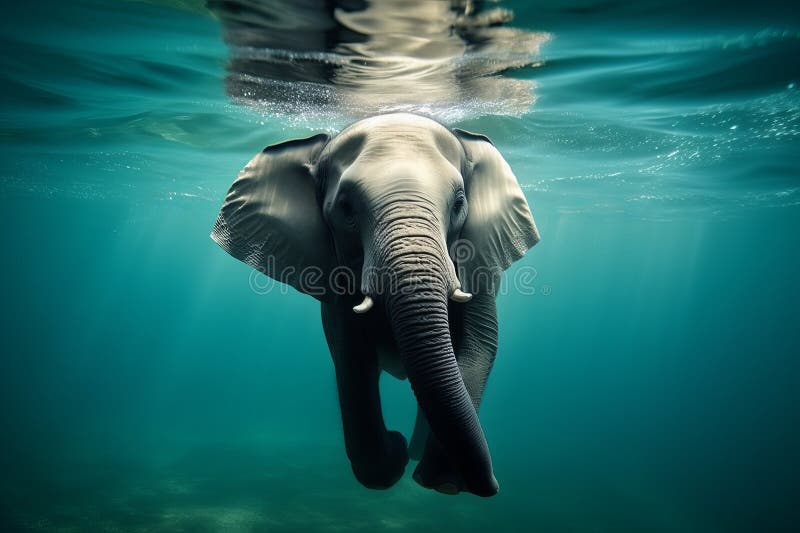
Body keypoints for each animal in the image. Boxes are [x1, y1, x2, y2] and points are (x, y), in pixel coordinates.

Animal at [211, 113, 539, 497]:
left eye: (459, 203)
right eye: (346, 208)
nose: (493, 485)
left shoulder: (481, 263)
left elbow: (478, 346)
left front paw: (441, 482)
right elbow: (352, 358)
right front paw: (394, 458)